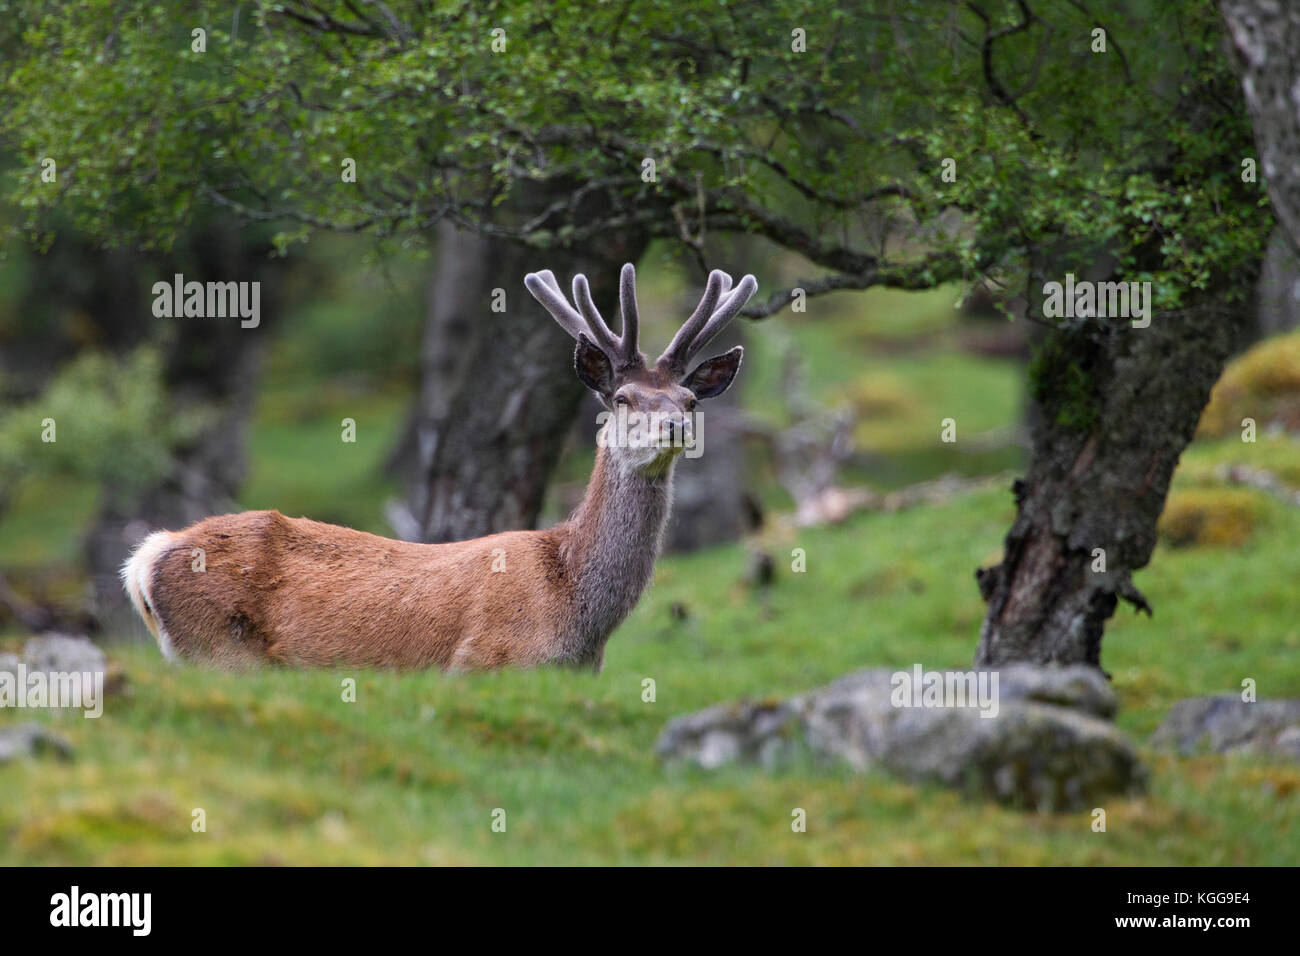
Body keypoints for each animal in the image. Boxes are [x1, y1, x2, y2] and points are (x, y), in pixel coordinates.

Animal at [122, 263, 757, 671]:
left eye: (689, 401)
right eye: (623, 397)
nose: (676, 427)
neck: (575, 617)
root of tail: (147, 559)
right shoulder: (482, 664)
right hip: (222, 653)